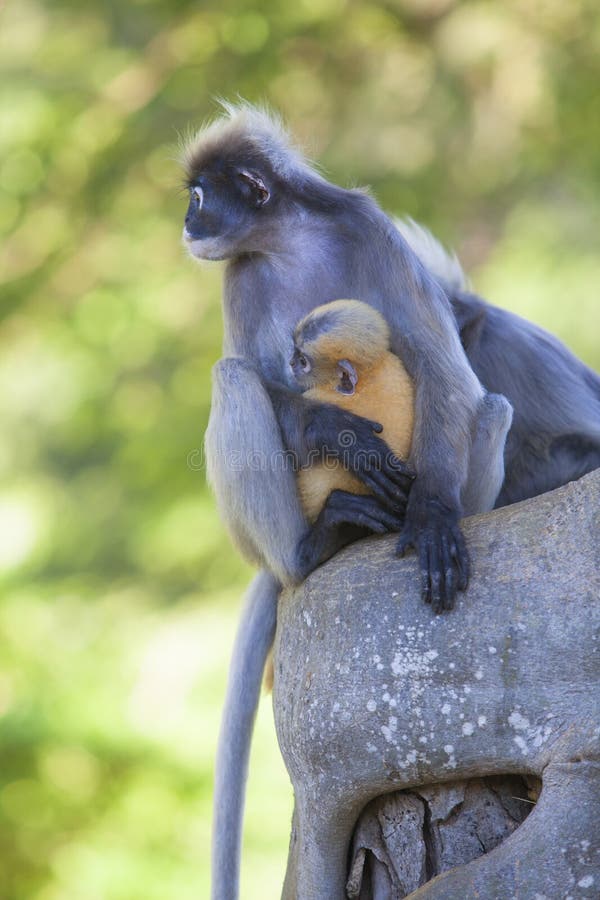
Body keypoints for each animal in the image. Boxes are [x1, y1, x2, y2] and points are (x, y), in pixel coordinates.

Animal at [179, 104, 600, 900]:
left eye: (199, 196)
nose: (184, 221)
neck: (290, 239)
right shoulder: (242, 278)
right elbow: (264, 378)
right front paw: (337, 433)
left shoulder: (368, 228)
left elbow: (445, 371)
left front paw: (431, 515)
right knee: (232, 377)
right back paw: (314, 547)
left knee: (485, 402)